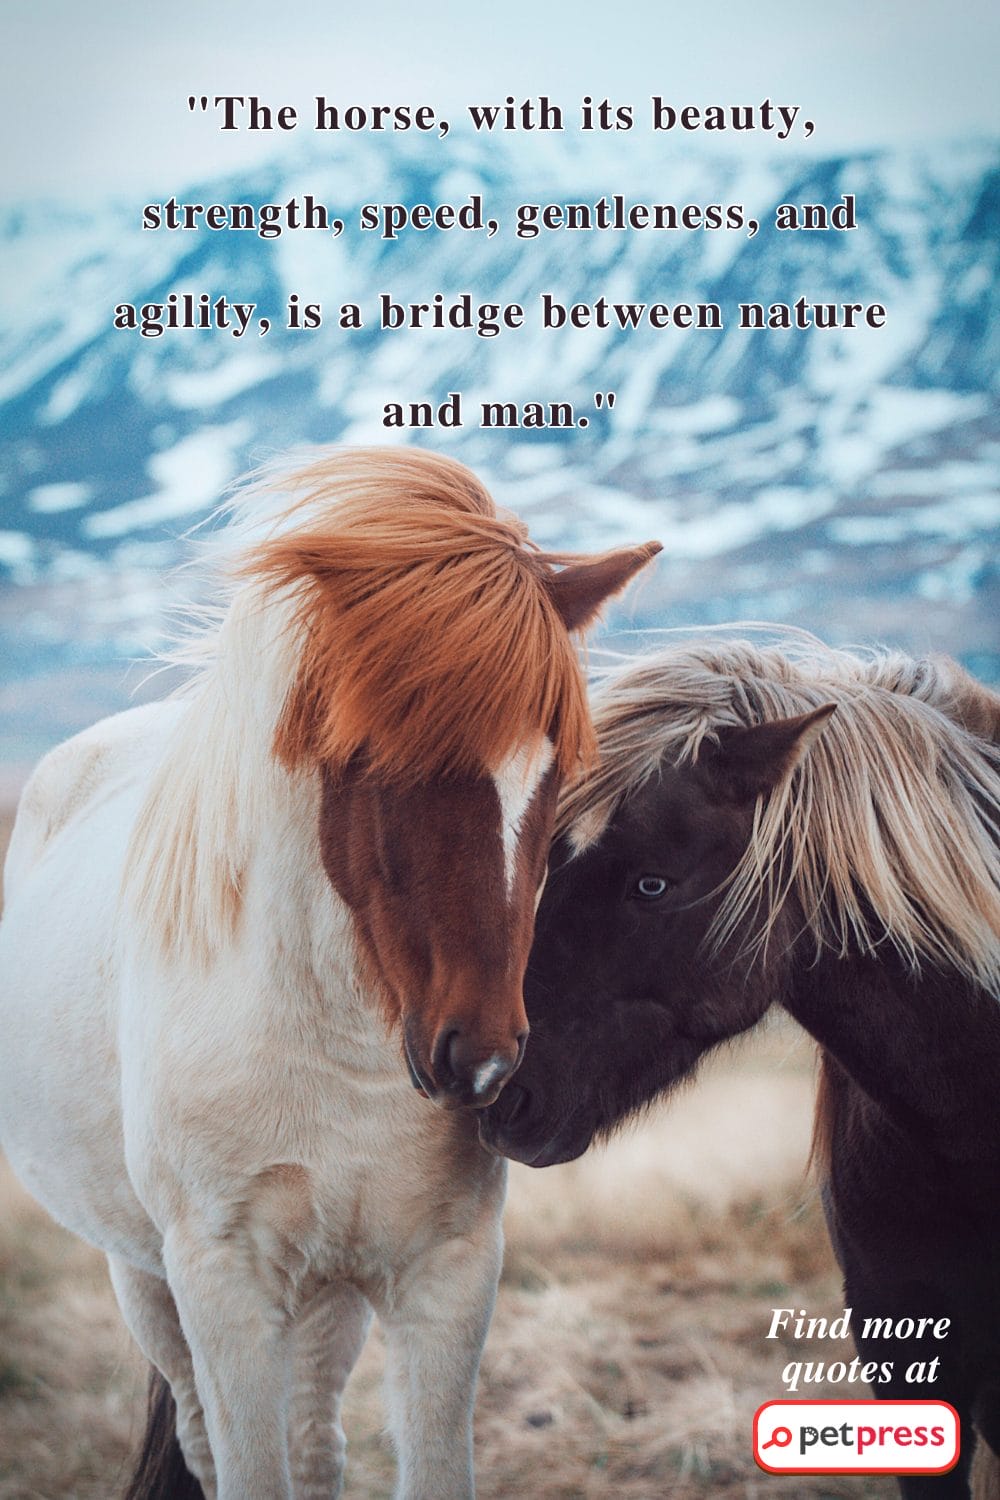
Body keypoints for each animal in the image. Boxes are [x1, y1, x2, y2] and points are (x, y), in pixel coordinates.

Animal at [0, 446, 660, 1500]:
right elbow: (243, 1466)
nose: (481, 1061)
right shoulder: (223, 1285)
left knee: (314, 1442)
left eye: (555, 772)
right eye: (373, 756)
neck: (338, 1049)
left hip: (323, 1293)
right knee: (203, 1436)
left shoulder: (447, 1274)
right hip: (144, 1275)